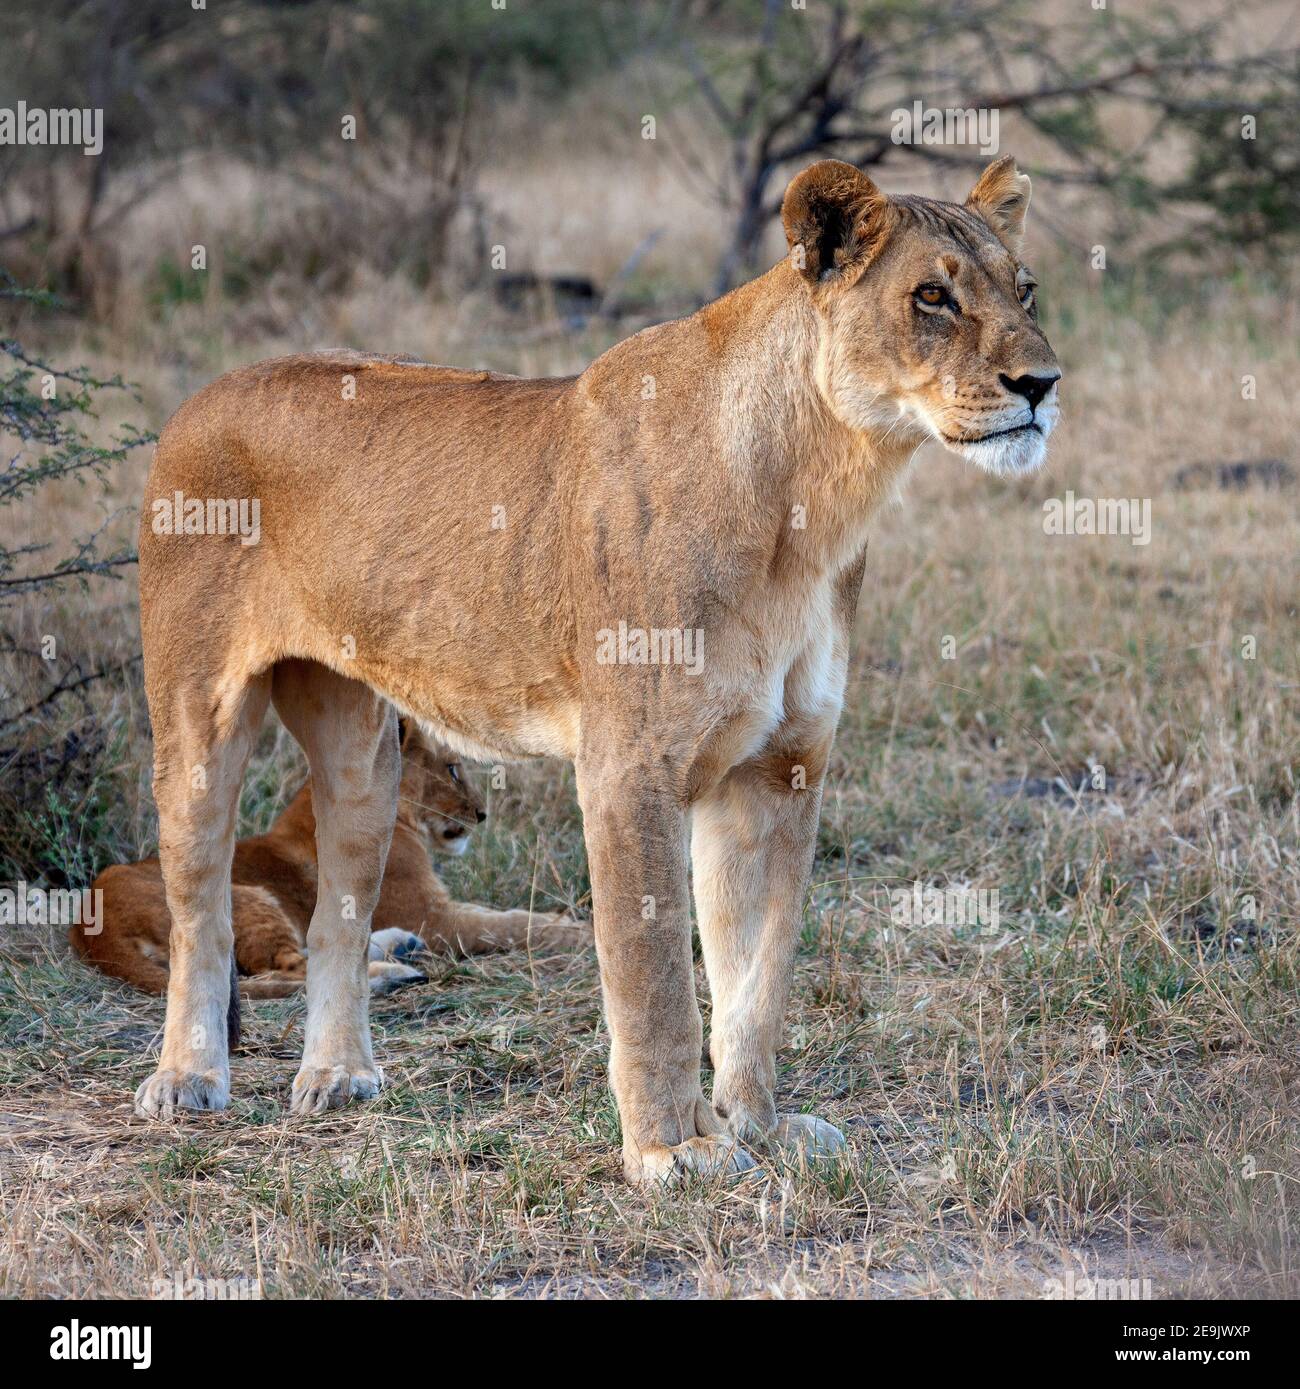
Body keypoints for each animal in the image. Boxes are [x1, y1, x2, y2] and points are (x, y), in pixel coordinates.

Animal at [72, 718, 583, 1017]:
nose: (482, 813)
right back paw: (395, 974)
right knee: (292, 970)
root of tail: (90, 924)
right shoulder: (433, 915)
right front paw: (572, 929)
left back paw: (399, 949)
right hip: (243, 897)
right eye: (454, 768)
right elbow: (510, 924)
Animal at [130, 157, 1060, 1183]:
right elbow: (655, 974)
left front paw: (761, 1128)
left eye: (1024, 290)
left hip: (362, 754)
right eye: (932, 296)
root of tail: (197, 397)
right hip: (198, 720)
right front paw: (672, 1150)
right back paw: (188, 1078)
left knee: (338, 909)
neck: (818, 497)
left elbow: (756, 975)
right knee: (201, 904)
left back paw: (337, 1076)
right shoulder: (631, 768)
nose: (1042, 382)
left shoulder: (778, 767)